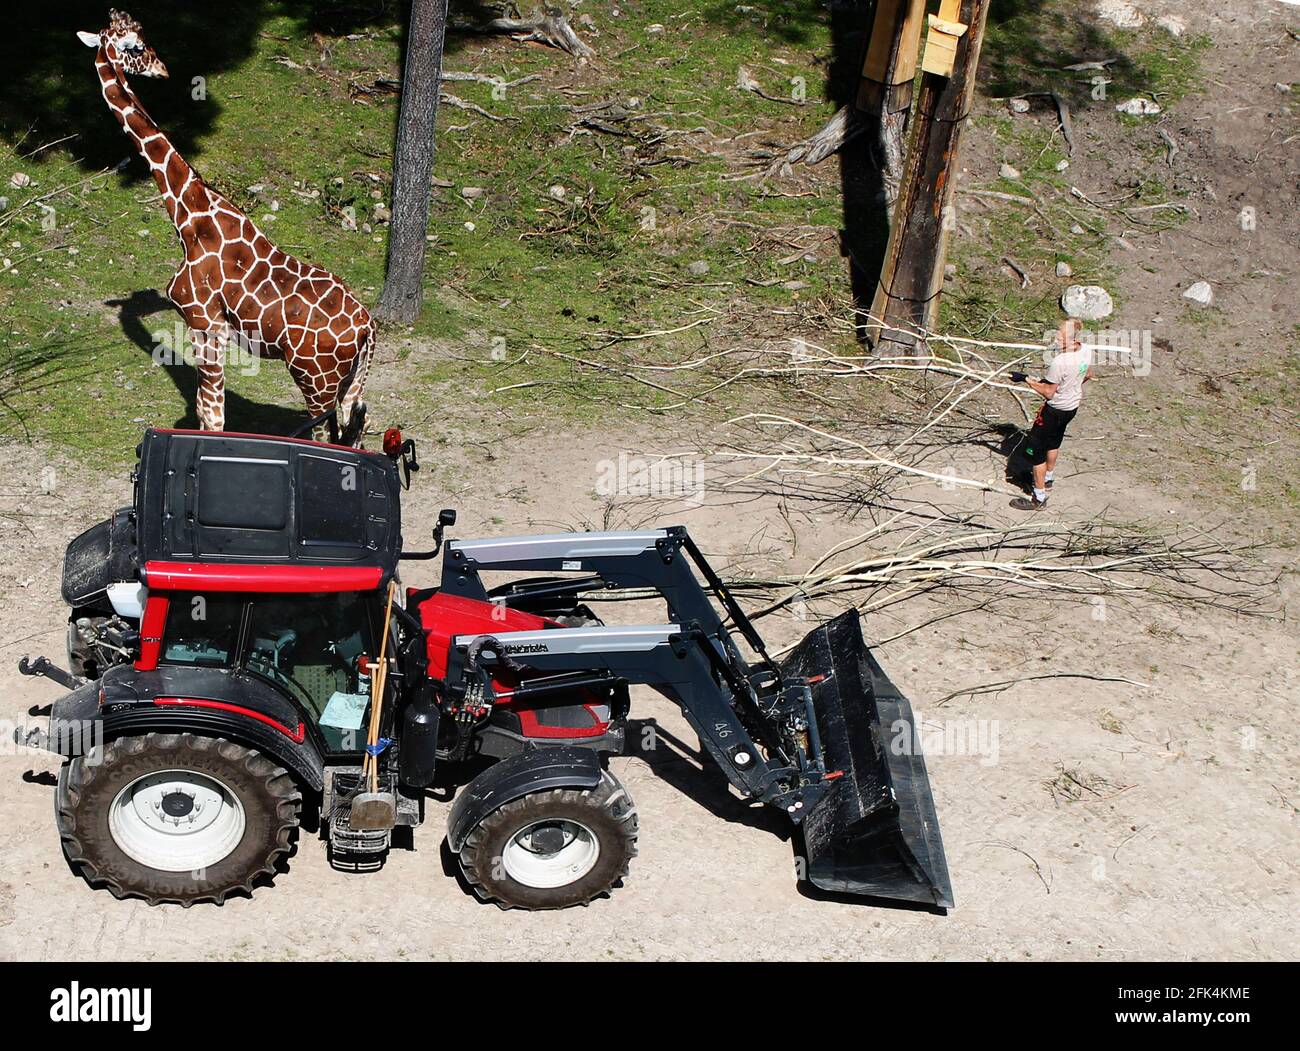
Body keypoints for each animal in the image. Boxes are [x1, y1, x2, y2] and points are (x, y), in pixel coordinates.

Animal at [78, 10, 375, 445]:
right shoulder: (207, 328)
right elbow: (205, 410)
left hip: (315, 378)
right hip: (350, 379)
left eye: (139, 43)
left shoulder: (205, 323)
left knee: (327, 433)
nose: (162, 69)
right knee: (358, 425)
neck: (190, 215)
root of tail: (369, 327)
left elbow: (214, 414)